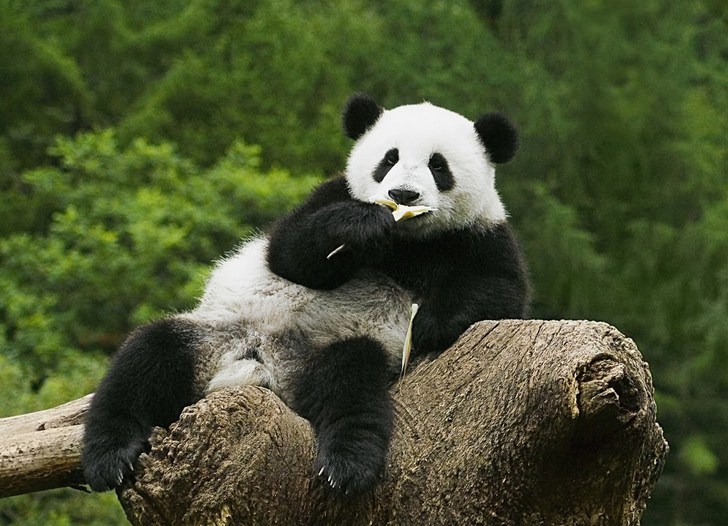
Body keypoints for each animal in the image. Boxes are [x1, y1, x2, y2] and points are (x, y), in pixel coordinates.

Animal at [81, 93, 530, 495]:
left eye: (438, 165)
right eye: (389, 159)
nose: (402, 195)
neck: (407, 240)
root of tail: (262, 364)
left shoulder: (479, 235)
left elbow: (500, 292)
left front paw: (429, 324)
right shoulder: (330, 195)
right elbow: (289, 252)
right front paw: (360, 227)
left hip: (330, 349)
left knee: (350, 384)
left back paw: (347, 465)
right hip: (215, 333)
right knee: (146, 359)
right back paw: (110, 456)